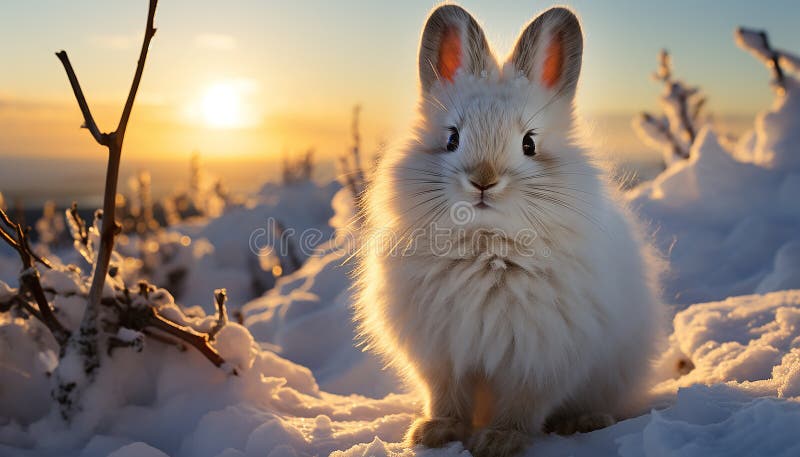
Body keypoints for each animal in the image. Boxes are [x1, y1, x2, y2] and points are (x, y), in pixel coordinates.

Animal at [354, 5, 665, 457]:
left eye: (529, 144)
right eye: (452, 139)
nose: (483, 181)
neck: (488, 244)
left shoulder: (540, 360)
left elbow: (523, 405)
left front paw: (499, 441)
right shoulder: (443, 356)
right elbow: (446, 396)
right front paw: (434, 433)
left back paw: (586, 421)